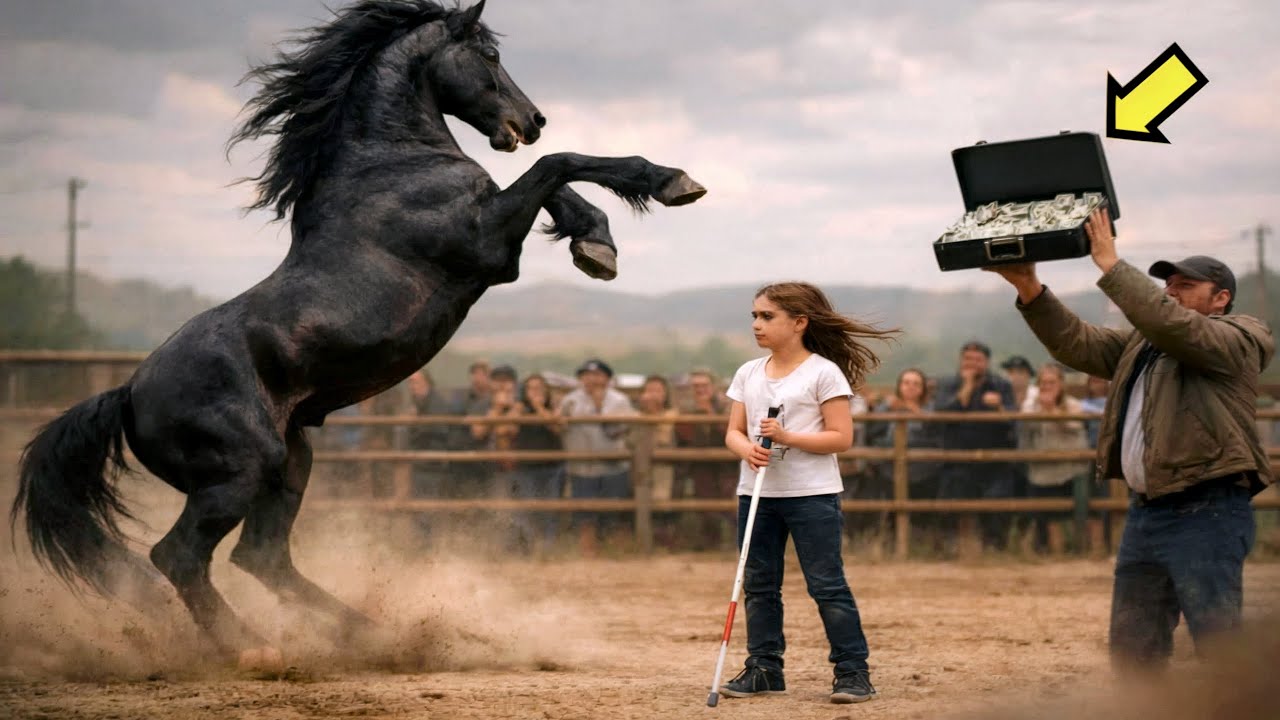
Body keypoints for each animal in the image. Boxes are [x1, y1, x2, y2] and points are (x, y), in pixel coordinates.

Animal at [11, 0, 705, 657]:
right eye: (488, 54)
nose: (532, 121)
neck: (388, 163)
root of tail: (127, 392)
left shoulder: (494, 219)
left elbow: (556, 186)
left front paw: (597, 244)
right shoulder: (488, 245)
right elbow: (559, 166)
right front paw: (669, 183)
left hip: (291, 460)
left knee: (261, 558)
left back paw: (381, 635)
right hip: (238, 470)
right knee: (180, 557)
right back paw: (253, 649)